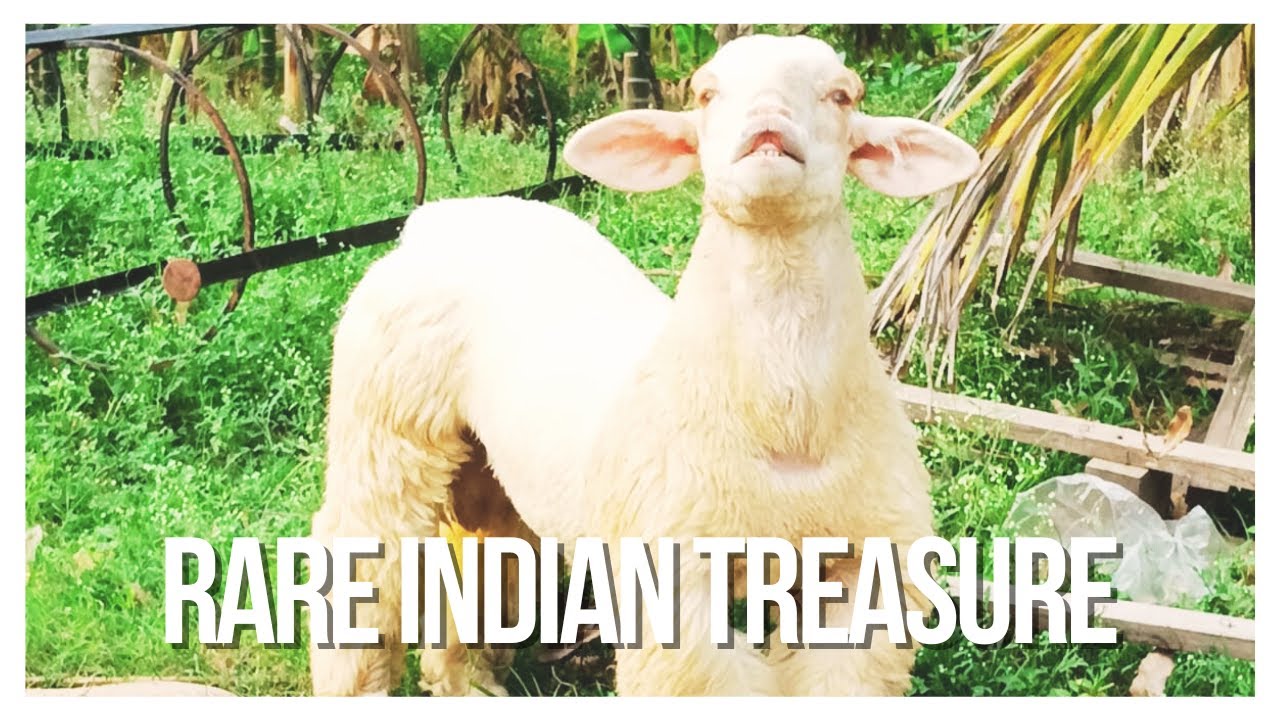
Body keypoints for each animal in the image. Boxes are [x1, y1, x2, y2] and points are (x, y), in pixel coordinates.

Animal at [309, 33, 979, 697]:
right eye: (706, 93)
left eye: (842, 95)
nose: (767, 126)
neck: (783, 427)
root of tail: (440, 220)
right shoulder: (673, 577)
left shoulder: (865, 568)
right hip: (384, 428)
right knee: (361, 551)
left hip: (480, 462)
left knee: (474, 551)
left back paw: (466, 681)